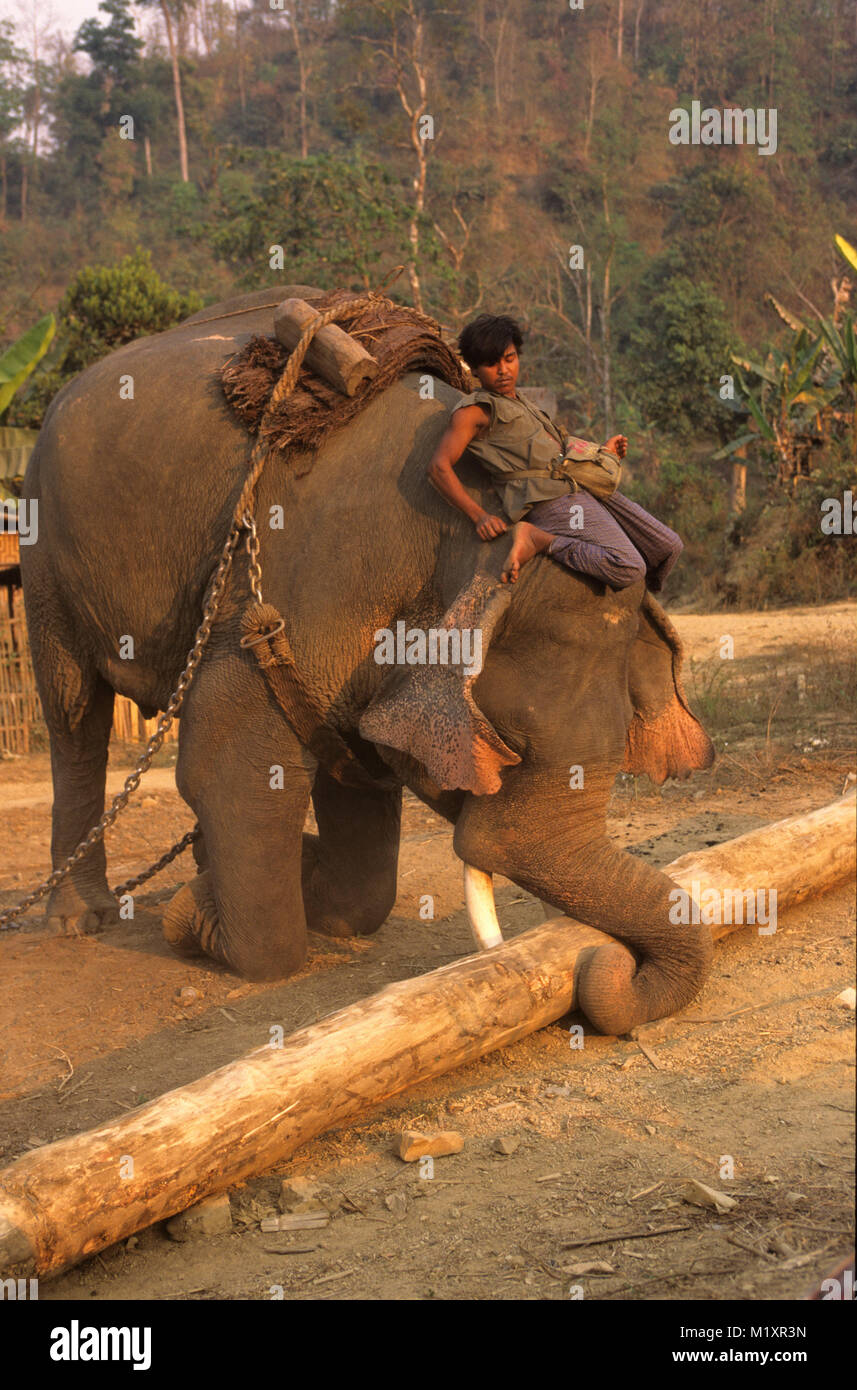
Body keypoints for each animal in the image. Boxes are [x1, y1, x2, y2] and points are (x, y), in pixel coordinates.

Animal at [20, 284, 715, 1036]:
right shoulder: (292, 598)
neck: (464, 538)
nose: (612, 964)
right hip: (43, 550)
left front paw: (290, 878)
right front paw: (197, 918)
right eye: (508, 749)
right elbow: (229, 768)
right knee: (74, 715)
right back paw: (79, 918)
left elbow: (358, 802)